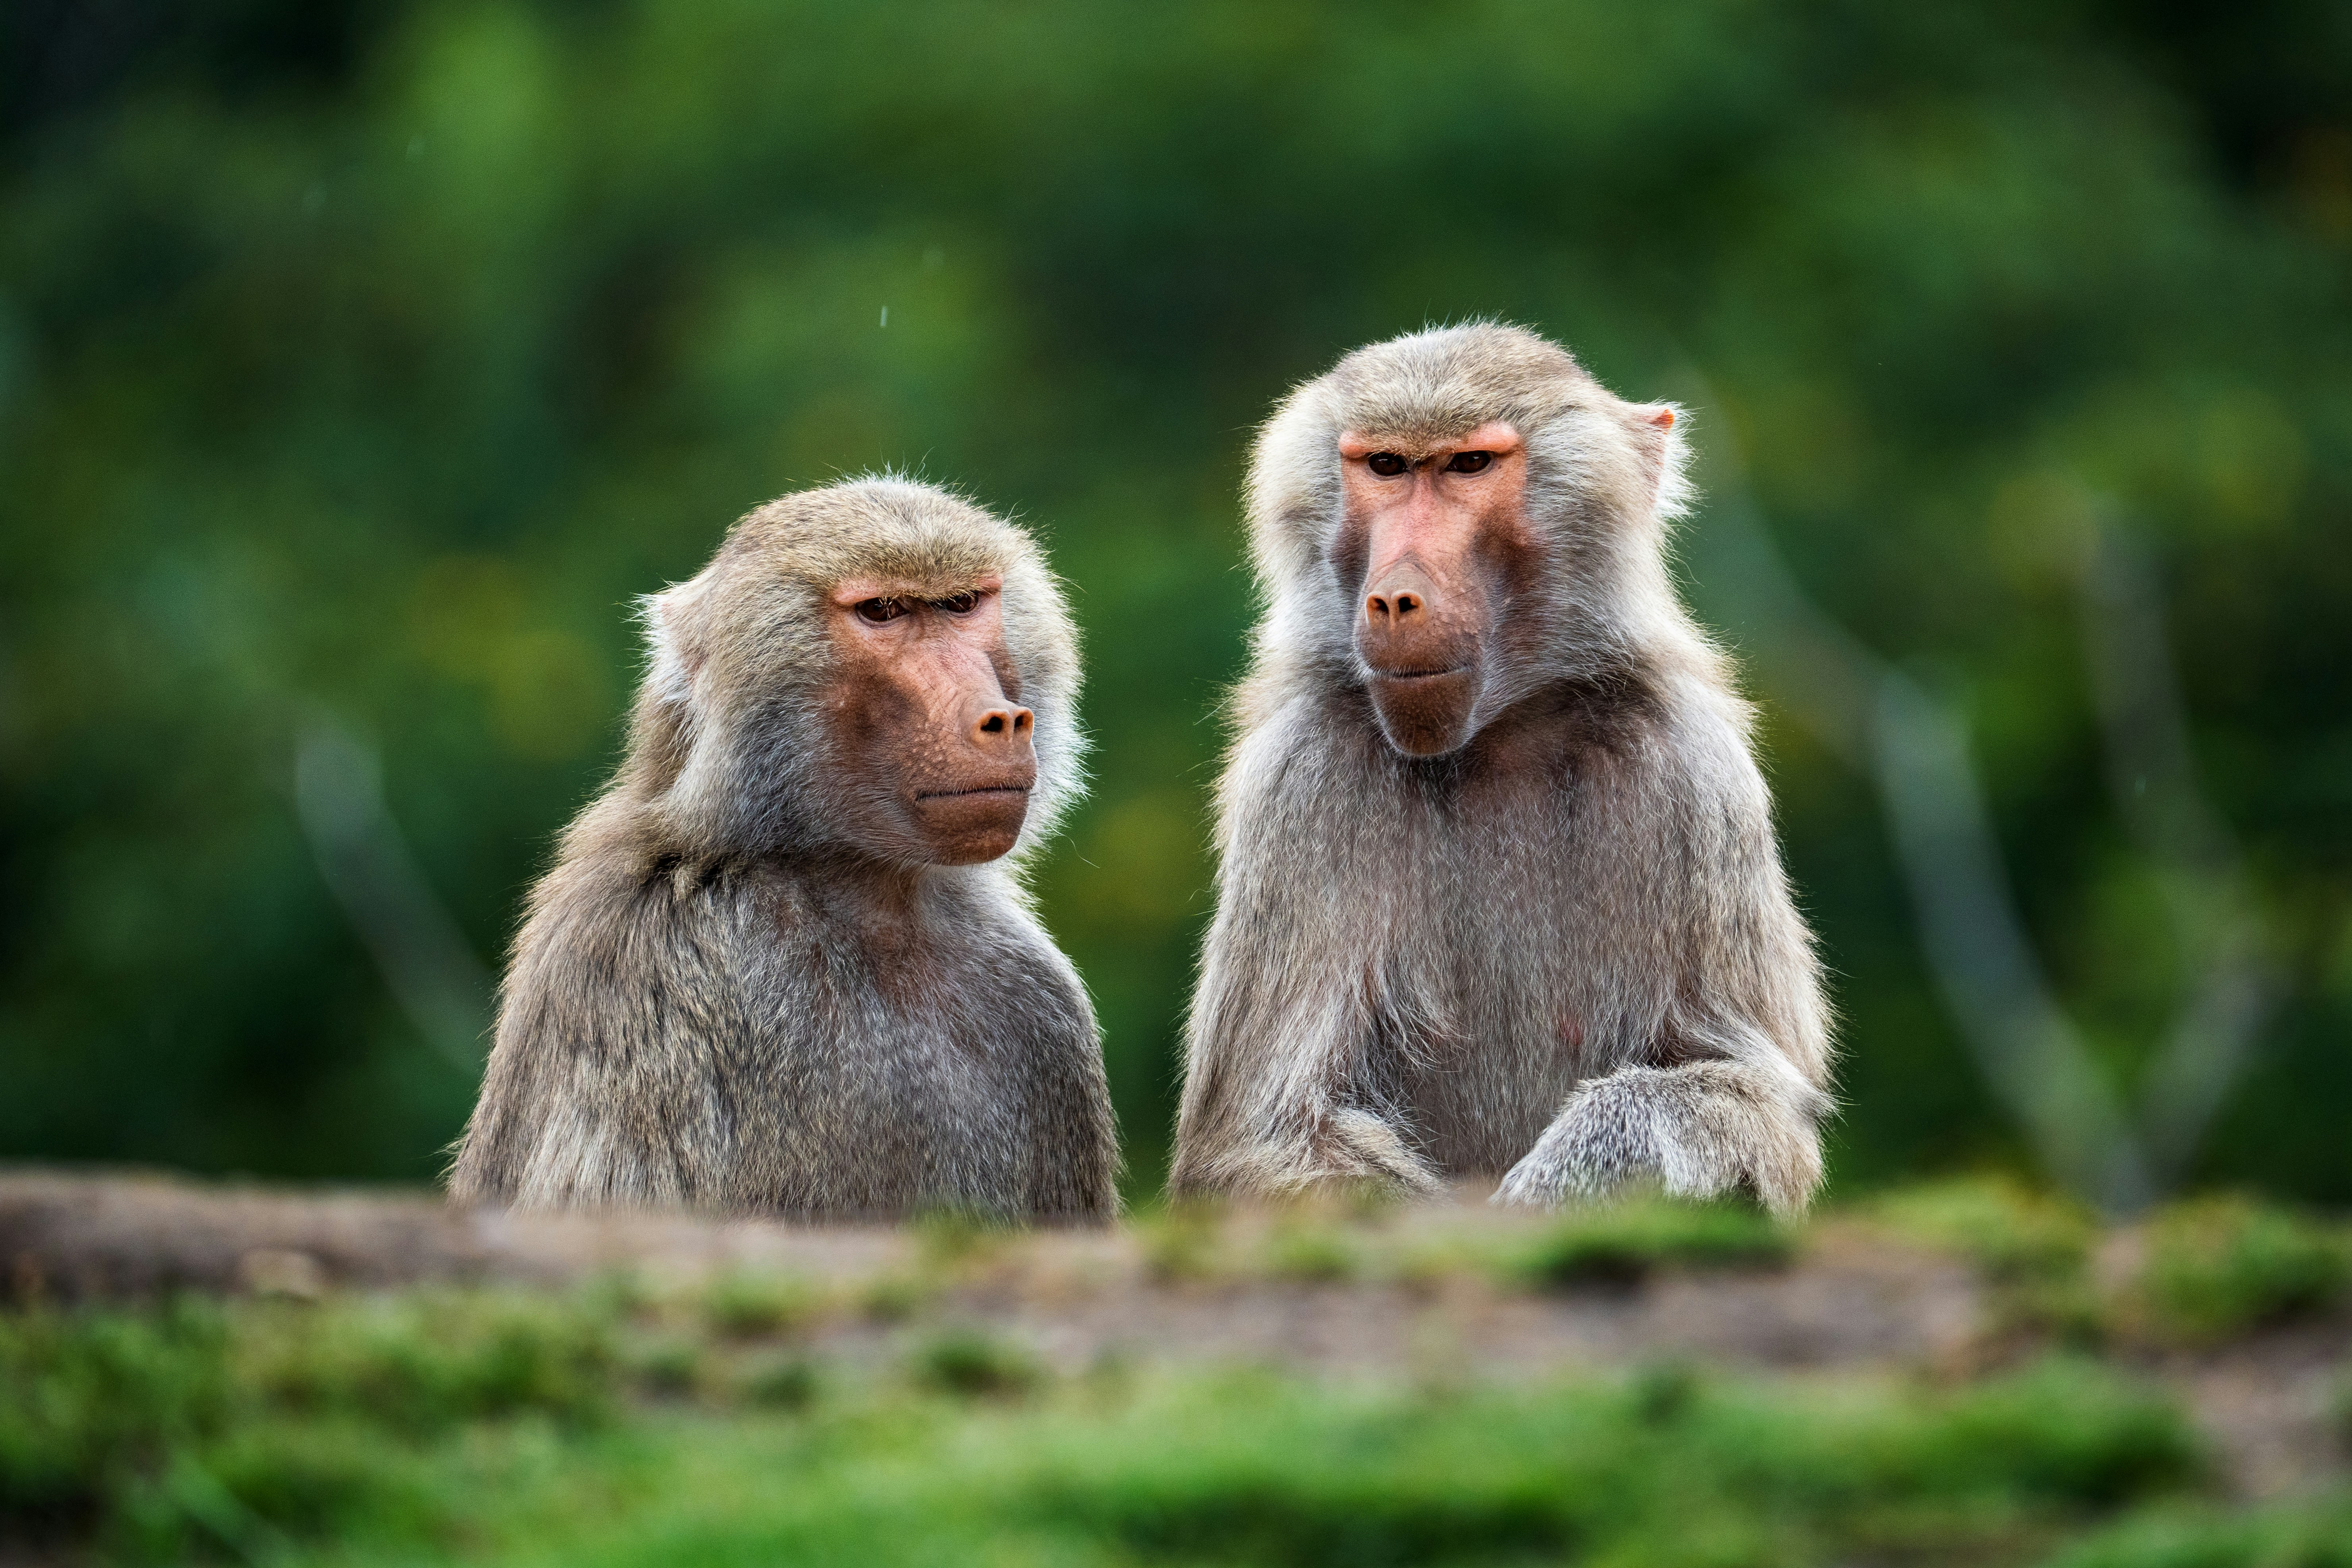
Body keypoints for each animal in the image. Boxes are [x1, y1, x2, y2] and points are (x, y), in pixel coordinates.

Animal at [447, 478, 1118, 1222]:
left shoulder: (1039, 1001)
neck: (860, 893)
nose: (999, 719)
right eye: (882, 611)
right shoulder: (686, 964)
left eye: (961, 604)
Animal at [1169, 324, 1832, 1216]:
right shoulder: (1305, 776)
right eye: (1386, 466)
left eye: (1469, 466)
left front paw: (1575, 1178)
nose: (1395, 600)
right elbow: (1254, 1147)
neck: (1499, 737)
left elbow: (1756, 1099)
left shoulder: (1693, 774)